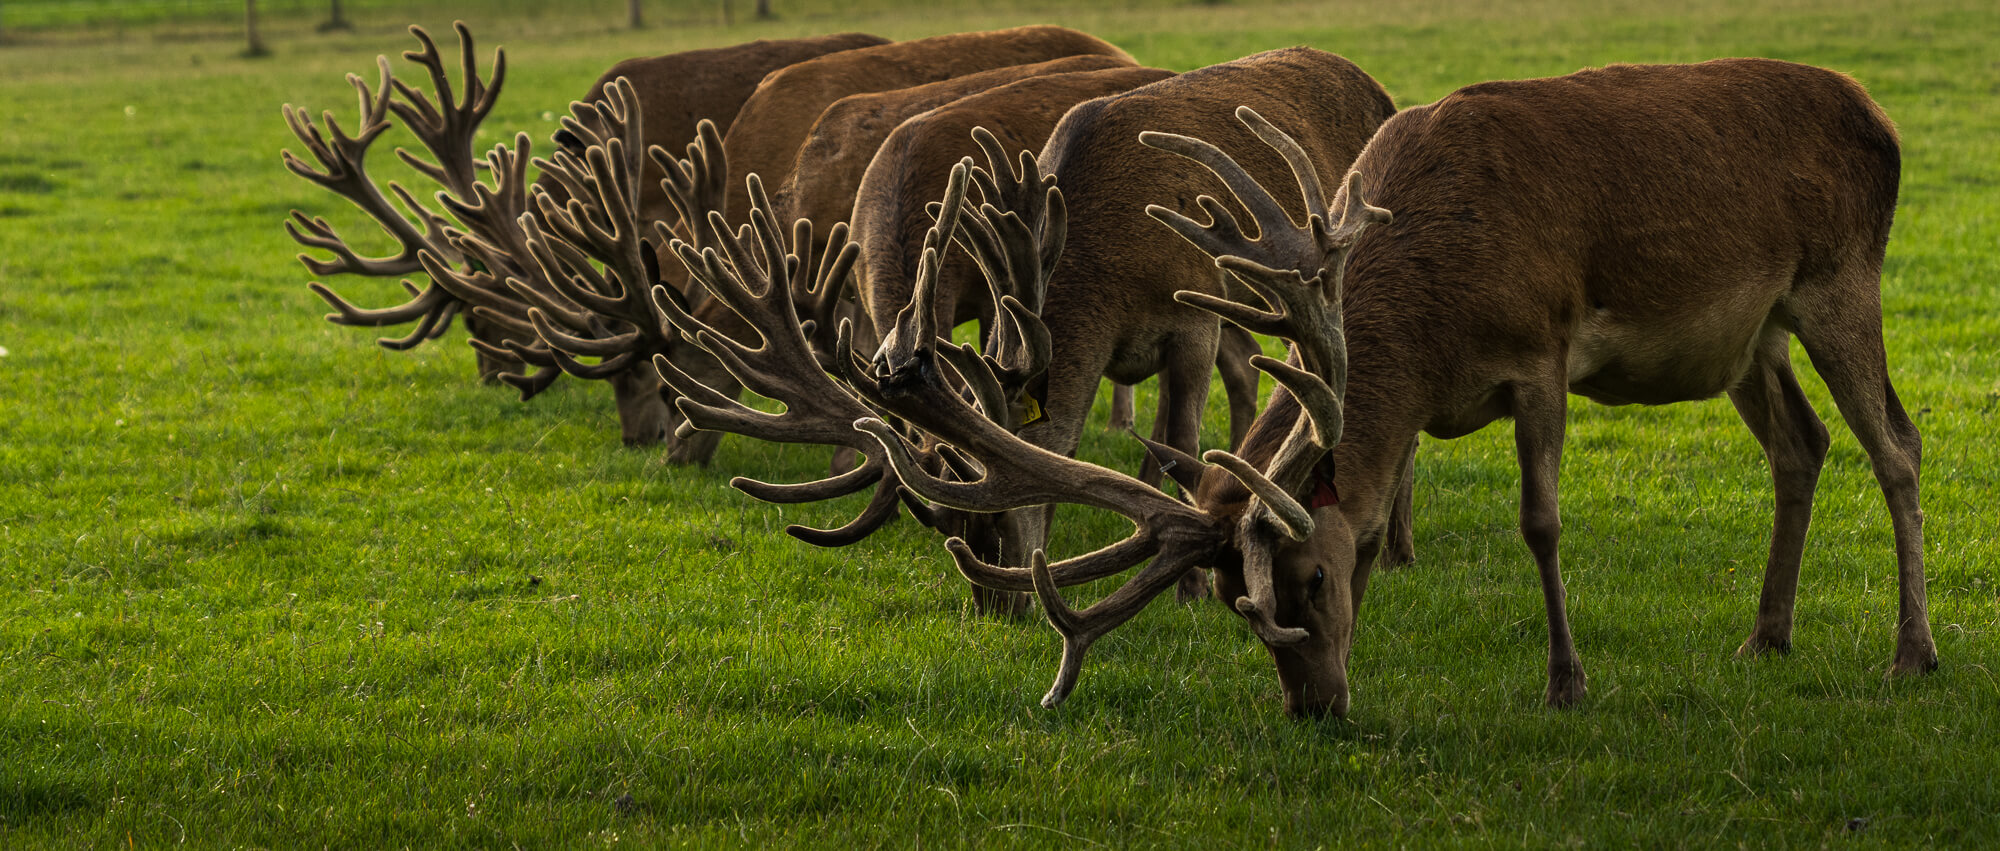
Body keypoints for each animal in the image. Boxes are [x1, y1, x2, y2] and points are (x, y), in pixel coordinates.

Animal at [850, 58, 1933, 718]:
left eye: (1307, 585)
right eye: (1241, 609)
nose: (1312, 705)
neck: (1431, 312)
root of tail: (1878, 113)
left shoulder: (1542, 350)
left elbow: (1539, 521)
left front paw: (1565, 680)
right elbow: (1371, 517)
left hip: (1842, 278)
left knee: (1896, 445)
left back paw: (1911, 652)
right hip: (1752, 336)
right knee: (1800, 445)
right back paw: (1766, 634)